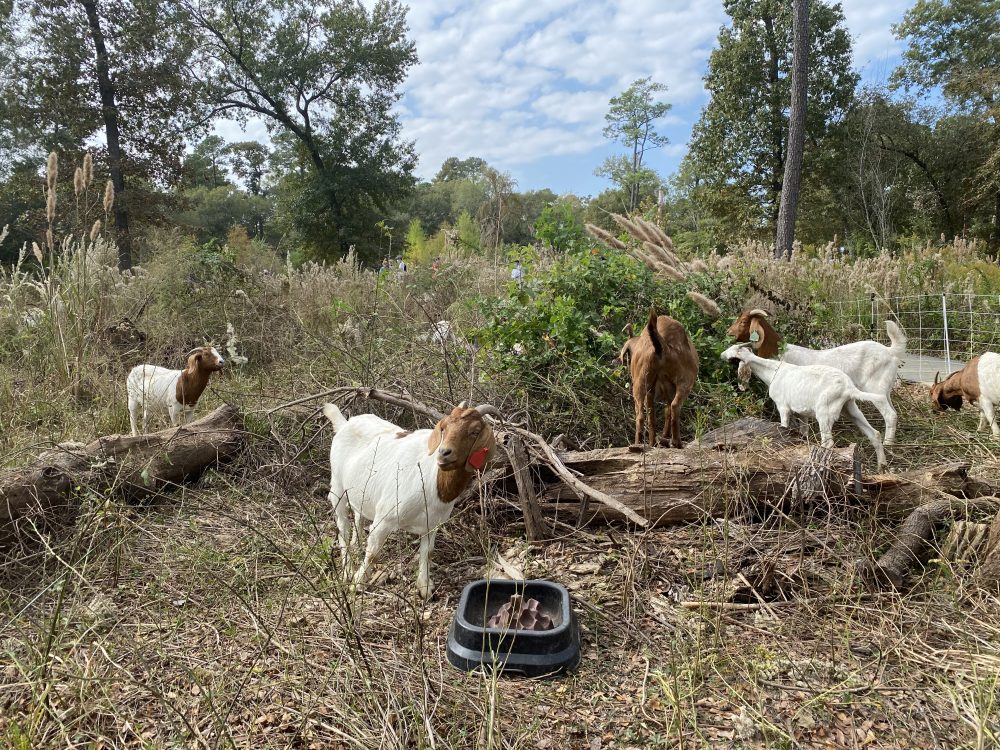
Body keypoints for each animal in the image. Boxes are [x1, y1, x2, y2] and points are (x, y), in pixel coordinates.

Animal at [322, 400, 498, 600]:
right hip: (337, 487)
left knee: (358, 517)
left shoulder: (432, 525)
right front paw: (357, 583)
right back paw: (347, 570)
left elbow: (427, 553)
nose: (443, 453)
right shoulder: (385, 518)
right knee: (342, 526)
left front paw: (425, 588)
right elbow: (373, 553)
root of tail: (345, 424)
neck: (432, 480)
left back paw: (356, 546)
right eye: (444, 428)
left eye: (474, 431)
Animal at [622, 308, 699, 449]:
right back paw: (677, 442)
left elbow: (656, 414)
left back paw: (642, 443)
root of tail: (661, 346)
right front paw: (666, 437)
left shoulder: (653, 390)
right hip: (685, 381)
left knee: (642, 415)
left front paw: (661, 438)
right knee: (674, 406)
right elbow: (668, 411)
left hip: (641, 383)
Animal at [721, 343, 887, 468]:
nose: (721, 355)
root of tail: (848, 387)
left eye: (732, 351)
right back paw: (882, 466)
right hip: (850, 408)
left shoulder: (783, 407)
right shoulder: (801, 413)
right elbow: (803, 433)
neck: (773, 372)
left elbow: (784, 428)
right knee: (875, 434)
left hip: (824, 412)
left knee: (828, 442)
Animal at [728, 311, 906, 445]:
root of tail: (889, 351)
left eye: (743, 322)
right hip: (885, 390)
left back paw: (887, 445)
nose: (728, 332)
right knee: (894, 413)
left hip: (875, 388)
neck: (779, 352)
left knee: (890, 415)